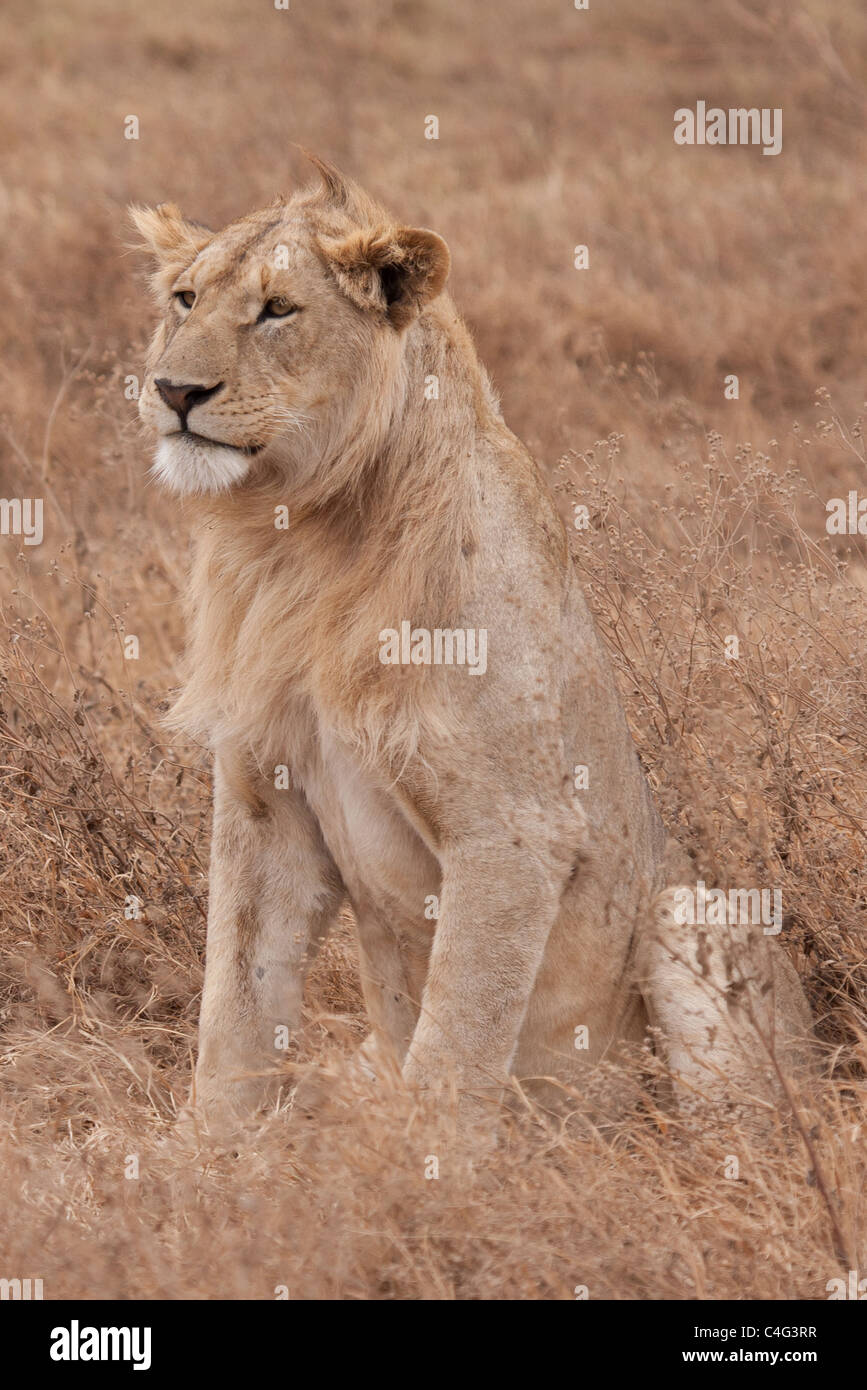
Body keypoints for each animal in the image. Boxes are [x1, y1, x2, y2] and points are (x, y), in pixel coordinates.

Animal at [131, 155, 812, 1141]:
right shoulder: (265, 805)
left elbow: (455, 1043)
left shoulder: (514, 830)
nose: (173, 392)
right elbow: (236, 1002)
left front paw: (419, 1177)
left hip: (691, 914)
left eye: (277, 310)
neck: (298, 541)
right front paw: (204, 1154)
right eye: (184, 299)